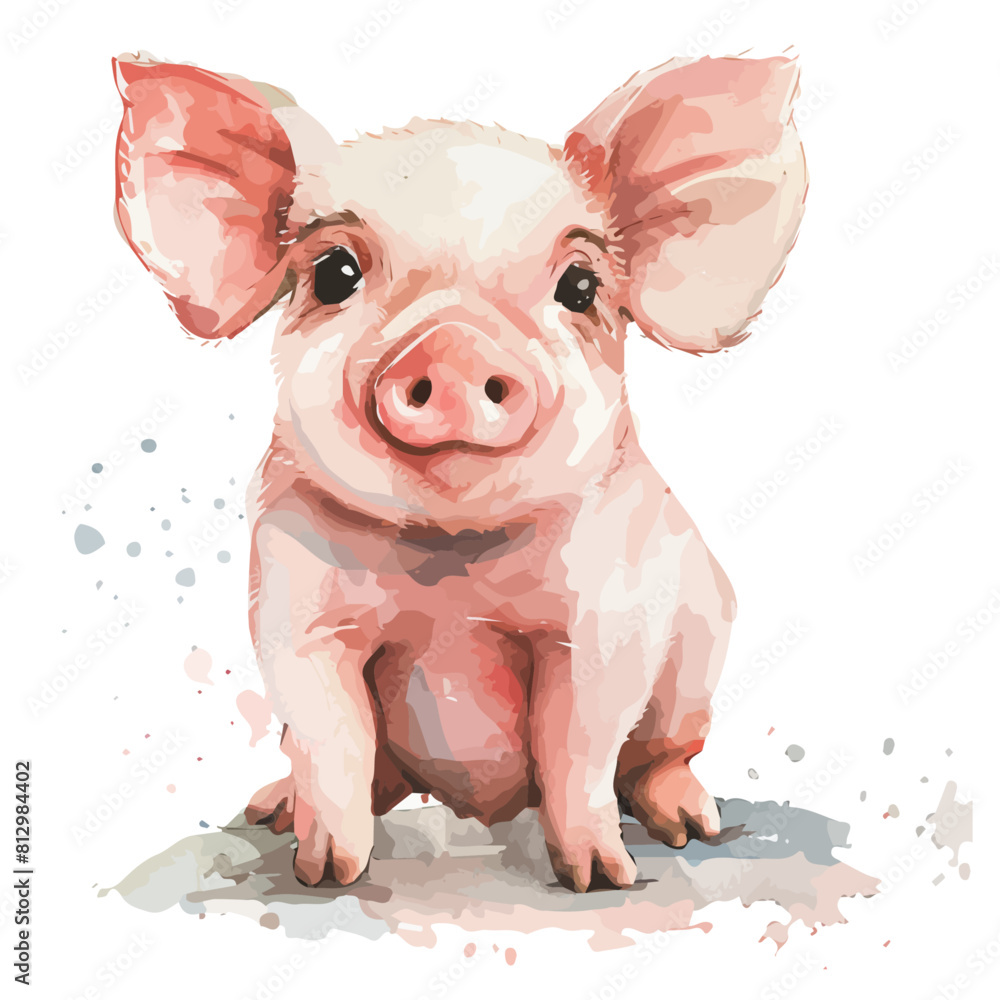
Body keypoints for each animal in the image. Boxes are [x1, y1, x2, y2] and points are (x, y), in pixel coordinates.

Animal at [112, 51, 806, 892]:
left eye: (581, 287)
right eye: (334, 272)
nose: (454, 347)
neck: (452, 568)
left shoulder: (606, 625)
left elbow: (578, 750)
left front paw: (598, 879)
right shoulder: (294, 610)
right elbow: (330, 739)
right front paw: (324, 873)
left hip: (701, 650)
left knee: (660, 755)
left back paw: (688, 826)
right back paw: (272, 810)